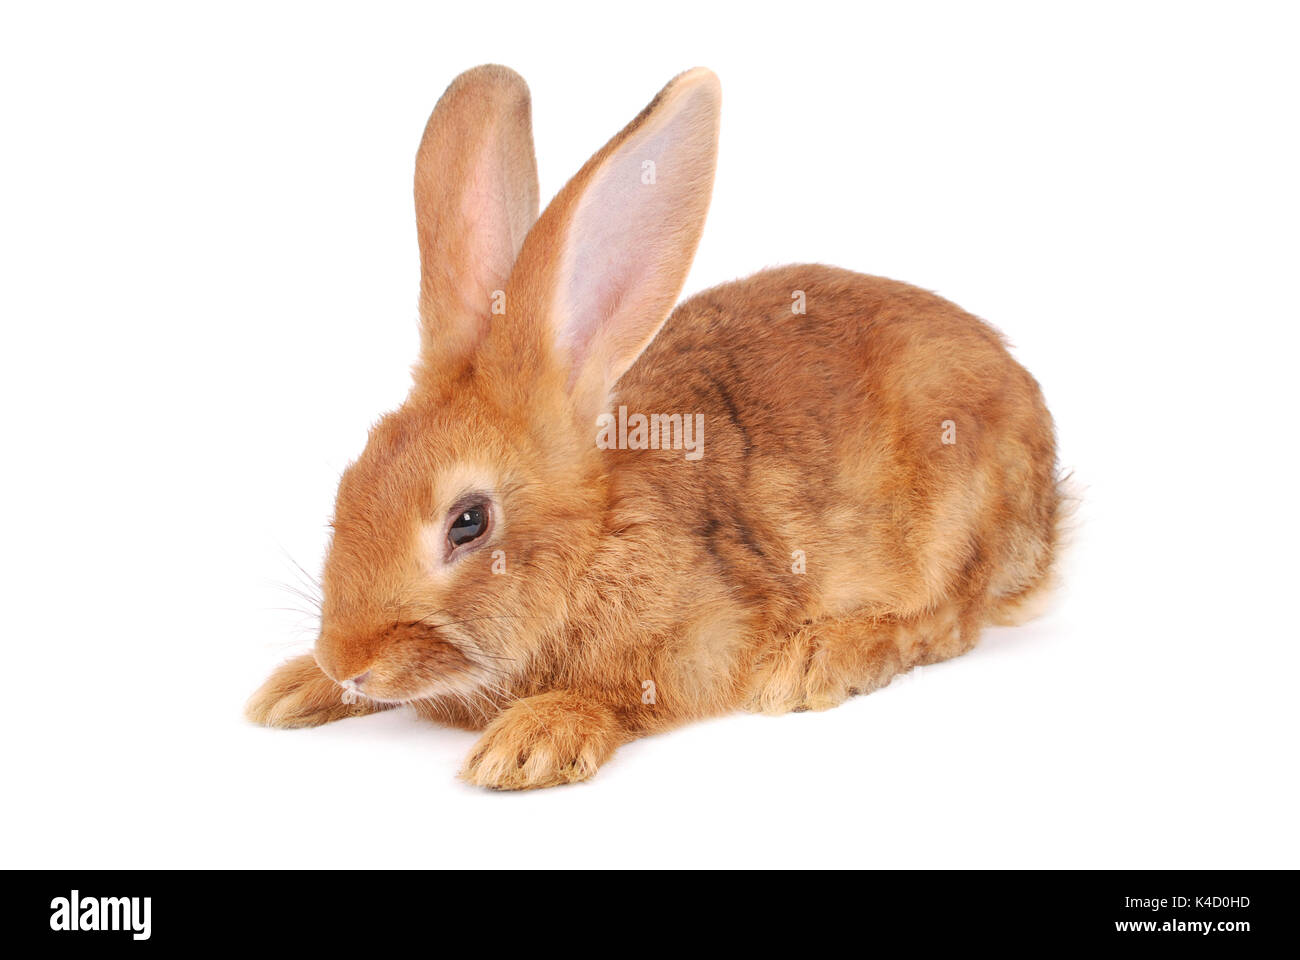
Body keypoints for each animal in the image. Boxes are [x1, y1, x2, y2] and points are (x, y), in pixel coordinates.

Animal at [245, 64, 1064, 790]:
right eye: (348, 484)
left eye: (469, 522)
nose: (347, 660)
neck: (592, 545)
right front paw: (293, 690)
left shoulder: (698, 645)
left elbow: (618, 699)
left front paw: (531, 743)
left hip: (956, 521)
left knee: (943, 622)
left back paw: (816, 662)